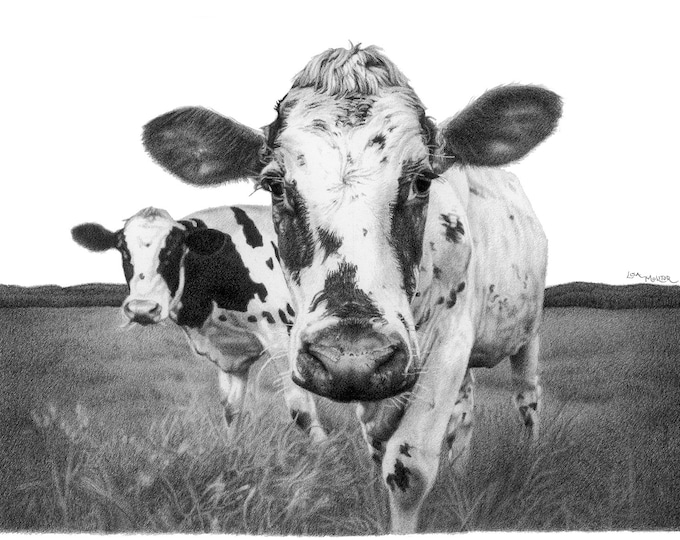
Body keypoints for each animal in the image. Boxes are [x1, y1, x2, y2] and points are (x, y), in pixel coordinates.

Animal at [71, 205, 326, 441]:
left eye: (174, 248)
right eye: (123, 250)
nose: (142, 308)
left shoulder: (281, 338)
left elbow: (301, 410)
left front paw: (324, 452)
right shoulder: (232, 353)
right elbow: (231, 410)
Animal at [141, 45, 561, 532]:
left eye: (422, 180)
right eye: (275, 186)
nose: (350, 356)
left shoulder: (451, 339)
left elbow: (408, 468)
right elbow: (379, 446)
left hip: (529, 332)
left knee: (527, 397)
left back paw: (529, 459)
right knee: (466, 409)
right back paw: (460, 472)